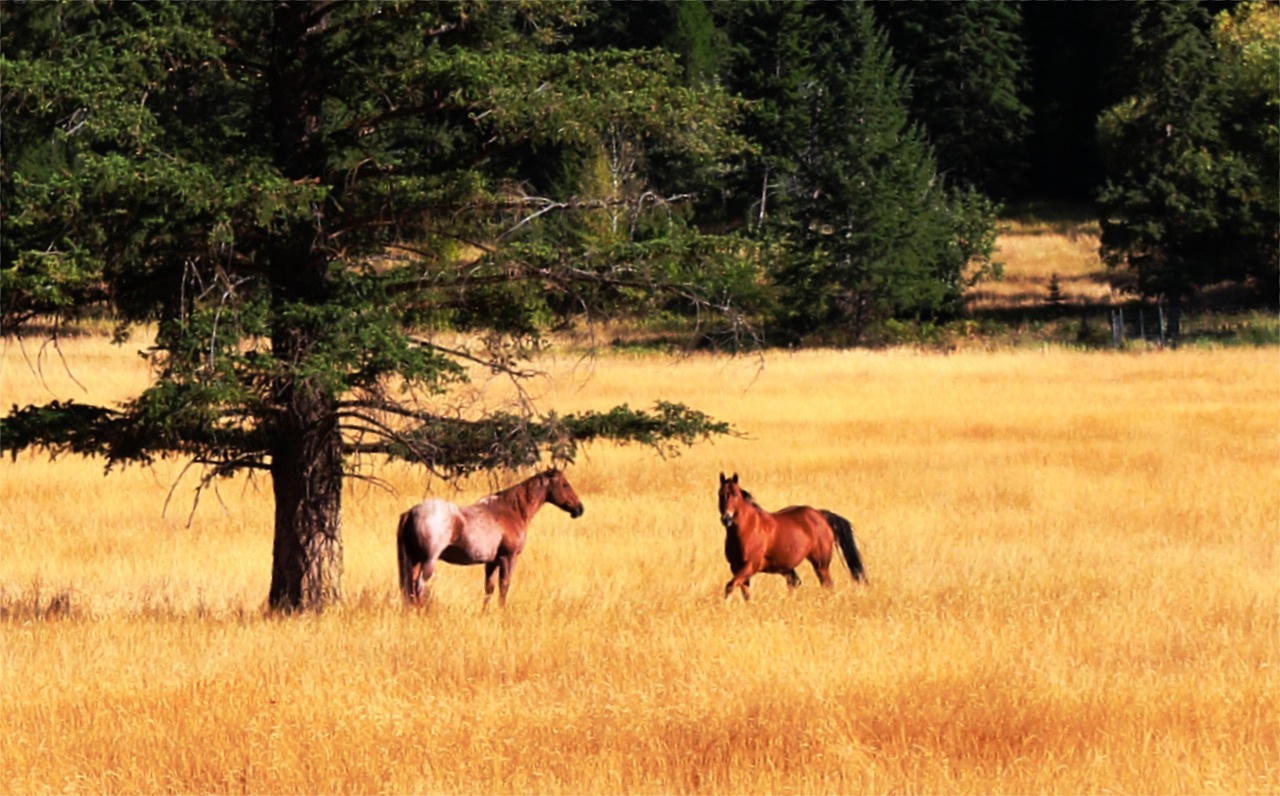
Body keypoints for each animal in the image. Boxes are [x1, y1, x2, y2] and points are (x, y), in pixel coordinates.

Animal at [397, 468, 584, 607]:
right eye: (565, 485)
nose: (579, 509)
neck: (511, 511)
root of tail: (411, 512)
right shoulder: (508, 558)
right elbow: (504, 587)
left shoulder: (492, 562)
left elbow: (489, 589)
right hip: (428, 562)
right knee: (419, 587)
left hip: (415, 561)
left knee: (410, 589)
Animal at [717, 472, 866, 601]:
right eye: (720, 494)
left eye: (735, 495)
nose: (726, 518)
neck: (748, 528)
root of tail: (820, 515)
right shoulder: (735, 567)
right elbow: (745, 593)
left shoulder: (751, 565)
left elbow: (730, 585)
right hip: (788, 567)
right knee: (795, 582)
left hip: (821, 565)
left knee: (826, 585)